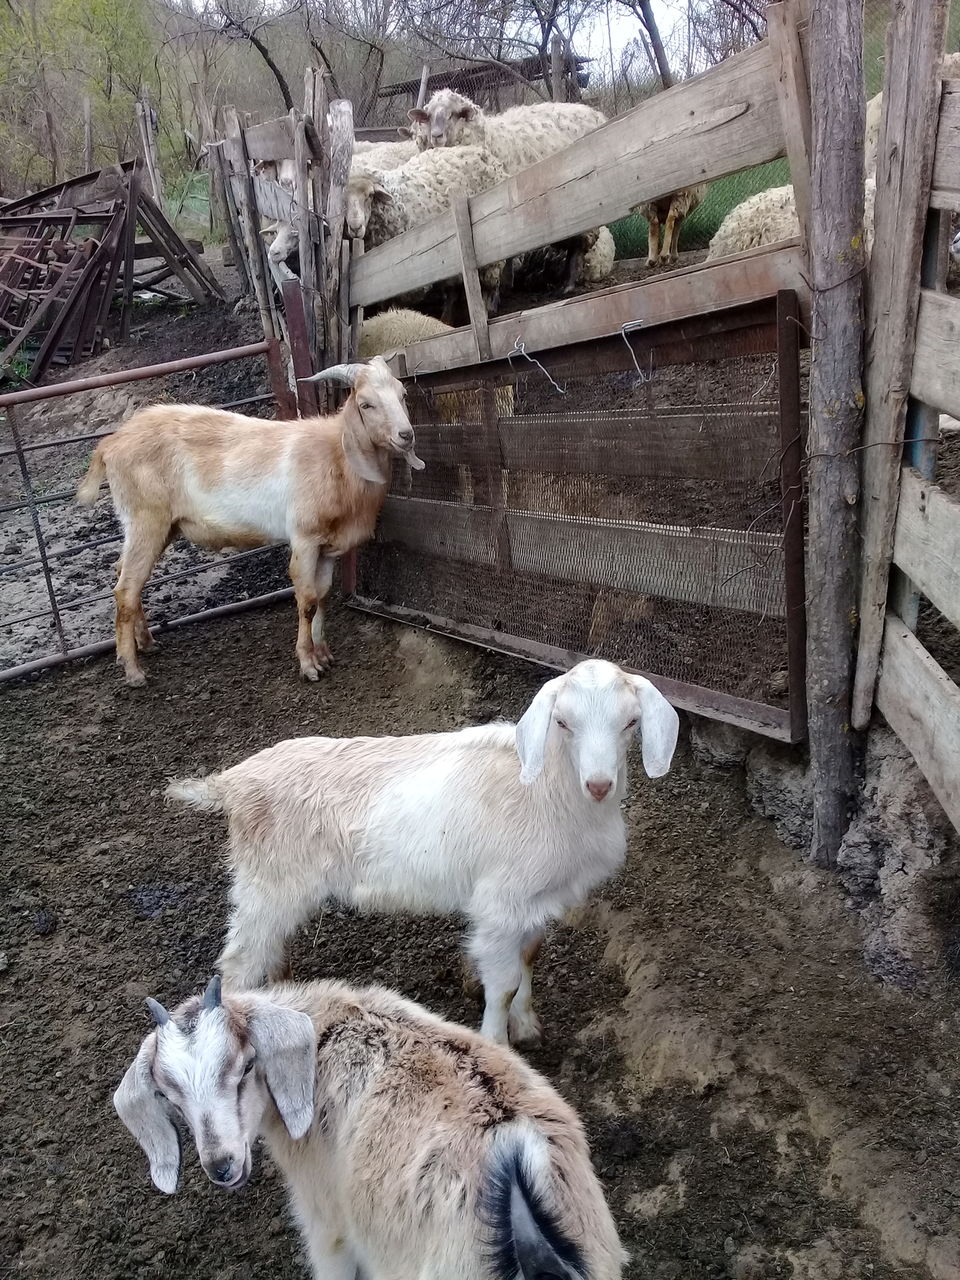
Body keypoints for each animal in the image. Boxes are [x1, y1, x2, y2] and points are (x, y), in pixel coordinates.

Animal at [76, 358, 423, 686]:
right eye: (366, 404)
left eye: (403, 395)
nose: (406, 436)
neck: (335, 455)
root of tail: (111, 443)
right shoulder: (305, 538)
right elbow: (307, 600)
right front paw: (308, 664)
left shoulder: (327, 546)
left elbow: (322, 596)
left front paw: (323, 653)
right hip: (146, 518)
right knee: (125, 589)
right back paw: (133, 670)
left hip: (156, 525)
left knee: (124, 574)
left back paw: (146, 643)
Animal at [166, 659, 679, 1045]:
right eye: (562, 722)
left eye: (631, 722)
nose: (599, 784)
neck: (547, 790)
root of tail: (232, 782)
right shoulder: (499, 901)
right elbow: (503, 983)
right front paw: (499, 1043)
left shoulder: (539, 899)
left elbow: (530, 958)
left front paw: (527, 1025)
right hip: (266, 880)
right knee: (236, 964)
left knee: (268, 949)